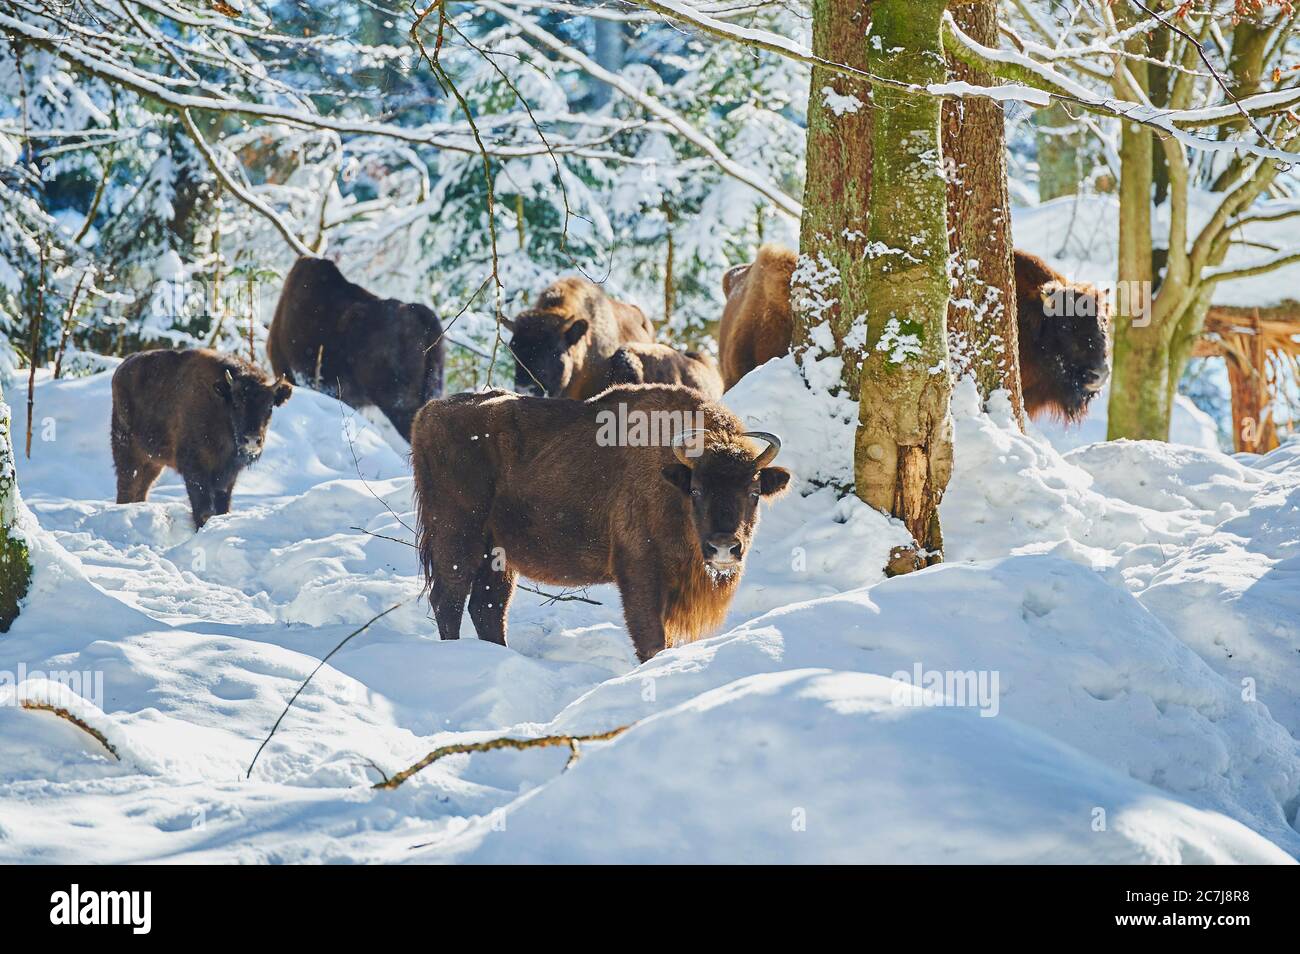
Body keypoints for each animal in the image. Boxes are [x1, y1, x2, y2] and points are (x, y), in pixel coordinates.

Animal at [111, 348, 291, 529]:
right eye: (236, 404)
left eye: (270, 406)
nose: (252, 439)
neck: (220, 407)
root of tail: (121, 369)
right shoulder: (196, 470)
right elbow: (203, 510)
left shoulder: (228, 476)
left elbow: (222, 508)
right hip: (127, 452)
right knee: (126, 487)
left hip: (153, 462)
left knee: (142, 488)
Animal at [410, 384, 789, 661]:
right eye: (695, 489)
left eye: (754, 491)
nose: (724, 546)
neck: (672, 478)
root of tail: (429, 411)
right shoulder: (639, 572)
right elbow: (651, 638)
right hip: (458, 538)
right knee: (449, 599)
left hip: (498, 555)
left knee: (487, 607)